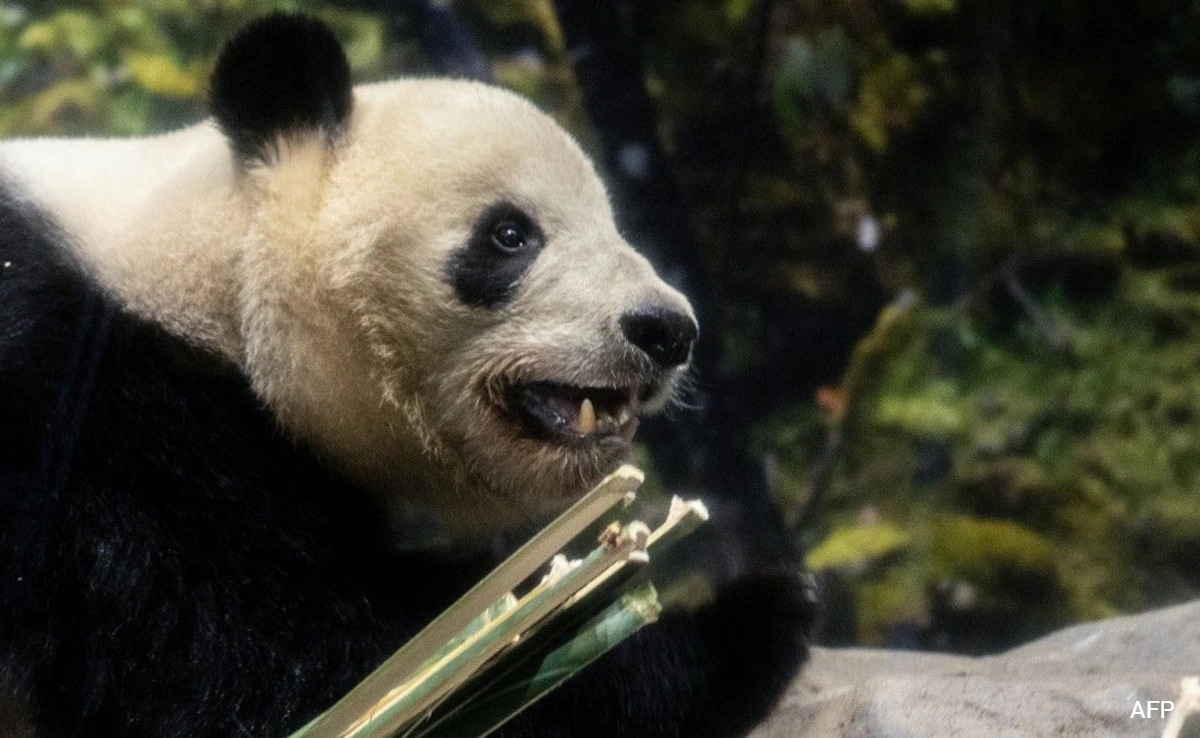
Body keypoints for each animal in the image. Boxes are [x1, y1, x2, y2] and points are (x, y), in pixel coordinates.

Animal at [0, 14, 811, 738]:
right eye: (510, 234)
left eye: (612, 223)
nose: (667, 329)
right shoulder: (81, 409)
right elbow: (271, 656)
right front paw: (739, 622)